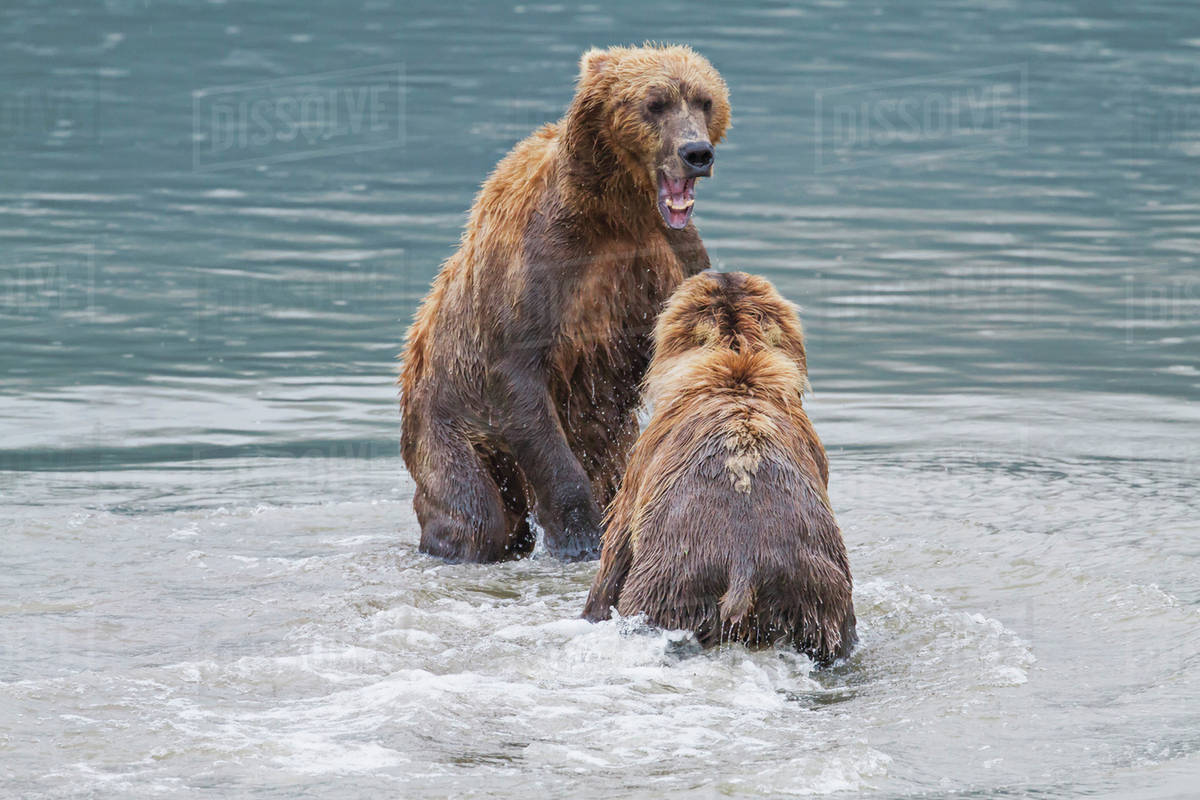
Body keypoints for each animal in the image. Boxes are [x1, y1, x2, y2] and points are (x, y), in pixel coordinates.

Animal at [399, 44, 732, 562]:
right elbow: (518, 369)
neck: (616, 210)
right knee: (473, 511)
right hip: (450, 418)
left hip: (606, 440)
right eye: (654, 103)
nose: (696, 153)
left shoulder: (670, 260)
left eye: (704, 100)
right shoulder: (543, 259)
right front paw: (578, 535)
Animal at [582, 271, 857, 664]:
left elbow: (614, 552)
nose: (723, 274)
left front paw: (593, 609)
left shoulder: (640, 469)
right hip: (816, 595)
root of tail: (744, 568)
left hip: (672, 583)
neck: (737, 372)